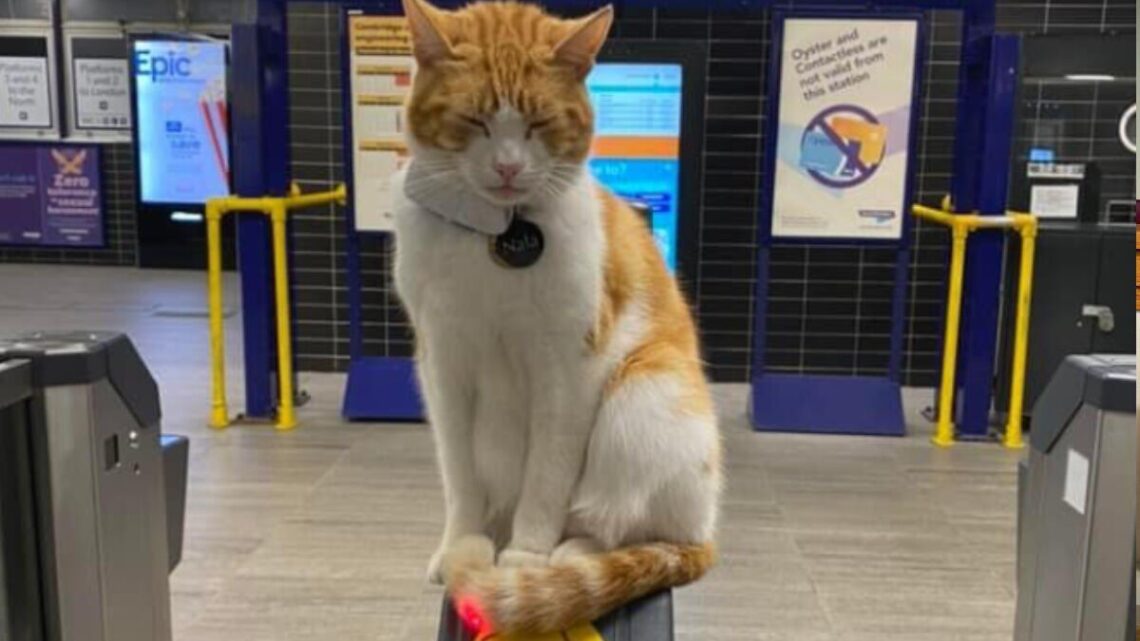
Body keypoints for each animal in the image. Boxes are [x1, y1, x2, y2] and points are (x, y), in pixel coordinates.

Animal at [387, 0, 715, 629]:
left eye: (538, 124)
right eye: (475, 120)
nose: (509, 168)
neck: (495, 235)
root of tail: (708, 531)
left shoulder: (567, 373)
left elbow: (546, 475)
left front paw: (524, 557)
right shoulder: (441, 365)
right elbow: (459, 476)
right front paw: (459, 545)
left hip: (640, 394)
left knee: (630, 531)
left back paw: (565, 560)